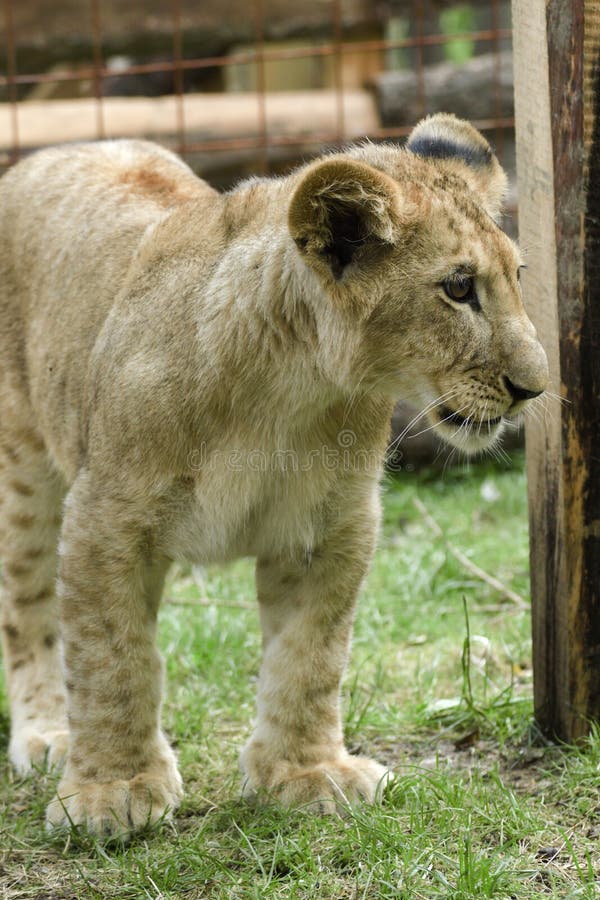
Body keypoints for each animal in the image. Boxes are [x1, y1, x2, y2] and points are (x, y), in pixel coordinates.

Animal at [0, 114, 548, 836]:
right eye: (459, 288)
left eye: (517, 276)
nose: (534, 388)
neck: (289, 392)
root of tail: (61, 148)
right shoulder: (106, 516)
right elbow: (110, 655)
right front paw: (111, 791)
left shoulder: (331, 525)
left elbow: (310, 655)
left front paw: (306, 772)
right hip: (26, 473)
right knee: (29, 611)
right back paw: (48, 734)